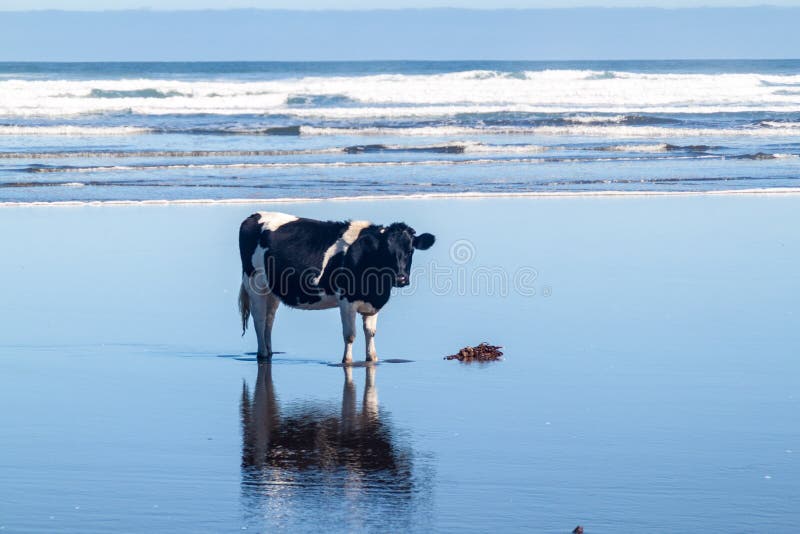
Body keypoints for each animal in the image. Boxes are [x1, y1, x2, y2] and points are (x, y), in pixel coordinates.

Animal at [238, 211, 435, 363]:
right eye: (386, 252)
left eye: (410, 250)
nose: (401, 278)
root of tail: (254, 216)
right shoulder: (346, 301)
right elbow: (350, 335)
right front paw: (346, 361)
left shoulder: (374, 303)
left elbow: (370, 333)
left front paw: (372, 359)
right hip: (254, 284)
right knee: (259, 319)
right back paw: (263, 353)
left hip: (272, 291)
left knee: (269, 320)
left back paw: (270, 352)